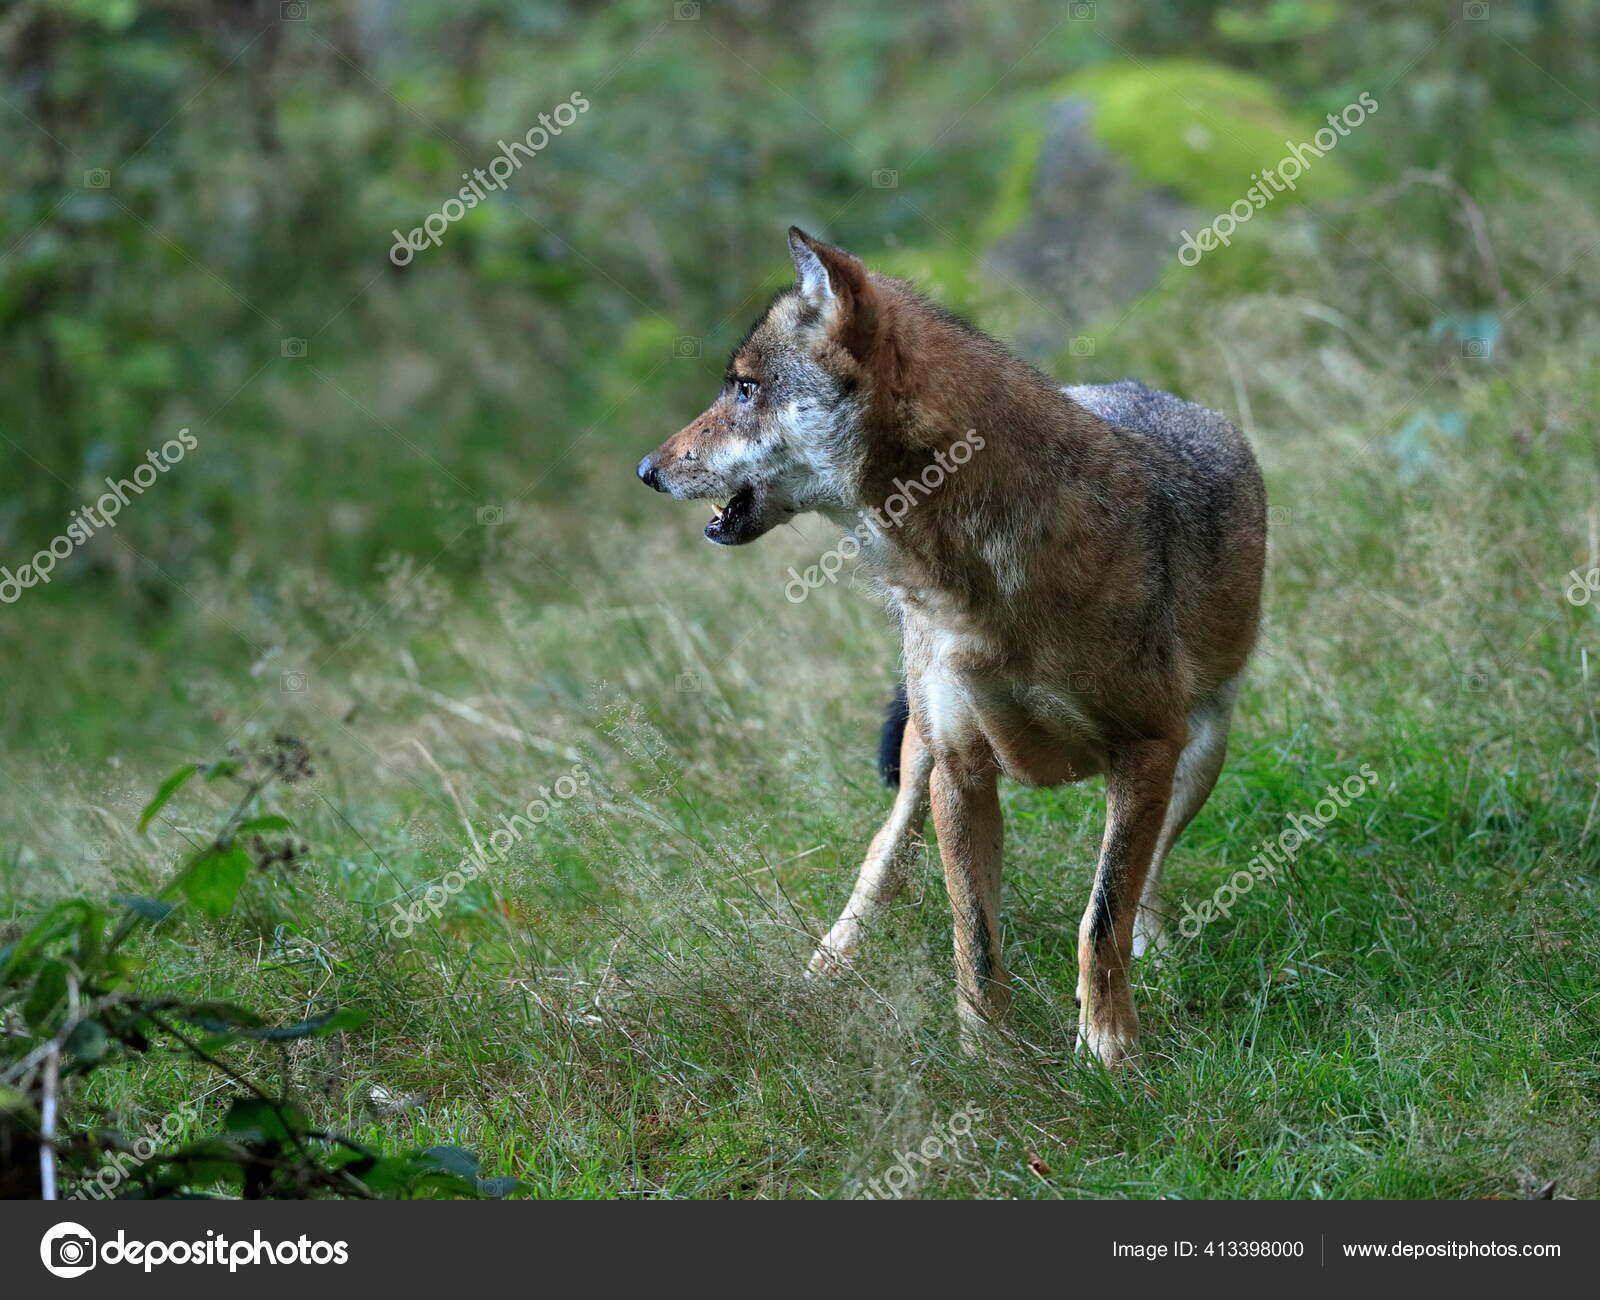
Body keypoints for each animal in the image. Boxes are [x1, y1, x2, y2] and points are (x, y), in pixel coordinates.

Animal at [636, 228, 1266, 1066]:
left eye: (743, 389)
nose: (645, 470)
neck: (978, 582)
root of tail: (1128, 385)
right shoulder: (961, 771)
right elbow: (976, 935)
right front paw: (988, 1058)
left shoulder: (1146, 751)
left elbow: (1101, 916)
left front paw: (1109, 1051)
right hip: (918, 762)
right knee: (882, 853)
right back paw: (824, 969)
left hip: (1203, 753)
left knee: (1147, 880)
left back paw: (1155, 952)